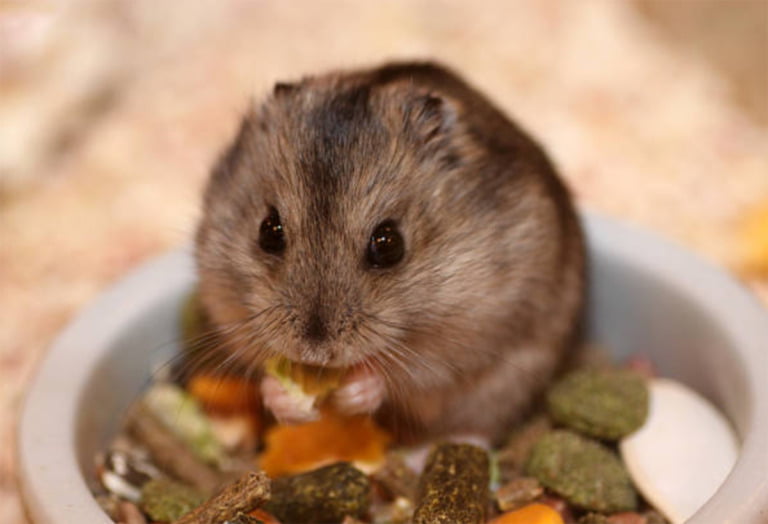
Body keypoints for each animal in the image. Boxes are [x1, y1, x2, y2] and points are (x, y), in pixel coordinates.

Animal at [194, 61, 585, 445]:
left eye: (389, 243)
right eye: (268, 231)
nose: (314, 353)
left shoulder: (469, 335)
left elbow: (401, 375)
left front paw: (355, 389)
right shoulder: (229, 310)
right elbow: (262, 369)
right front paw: (288, 401)